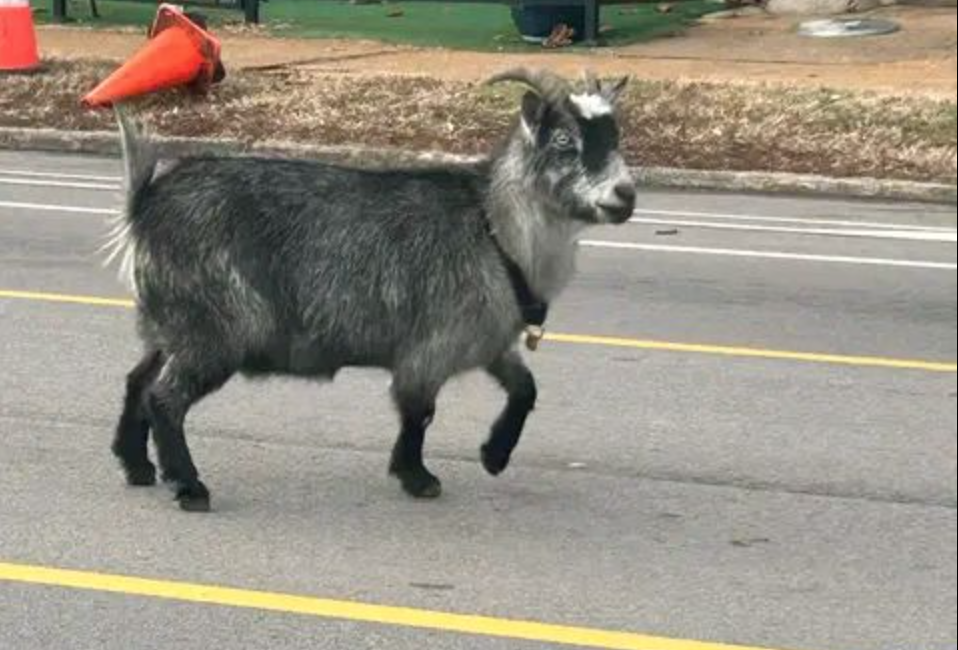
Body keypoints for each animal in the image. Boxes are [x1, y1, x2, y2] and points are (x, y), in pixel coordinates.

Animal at [107, 68, 637, 511]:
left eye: (615, 136)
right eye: (565, 139)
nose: (625, 196)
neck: (495, 230)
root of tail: (145, 202)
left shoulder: (486, 340)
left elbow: (525, 388)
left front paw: (494, 455)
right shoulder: (431, 347)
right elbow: (419, 411)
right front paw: (417, 477)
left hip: (169, 323)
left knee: (138, 381)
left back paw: (137, 466)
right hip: (215, 328)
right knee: (165, 398)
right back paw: (189, 486)